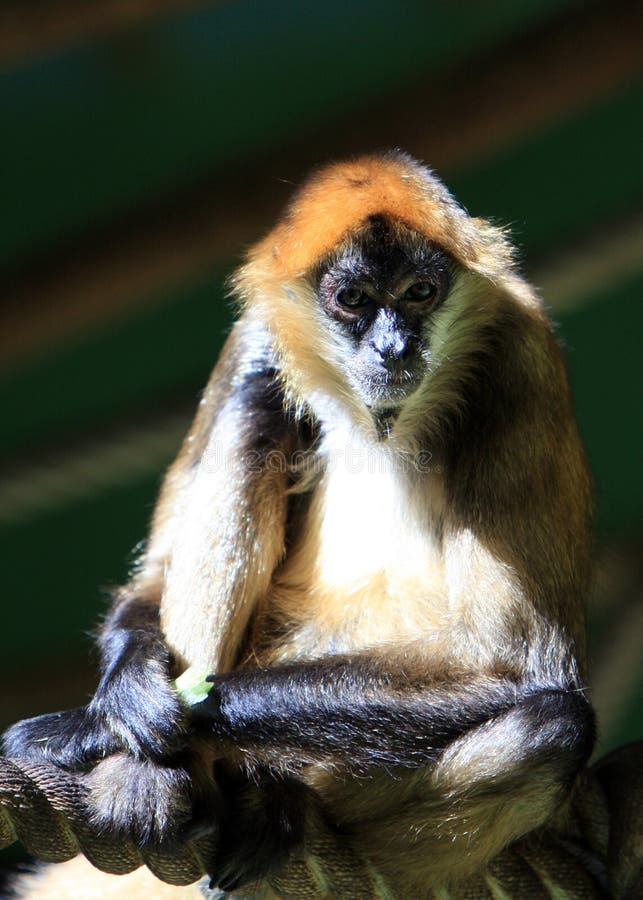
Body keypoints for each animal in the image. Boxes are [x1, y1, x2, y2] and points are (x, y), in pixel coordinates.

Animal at [4, 151, 595, 898]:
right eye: (353, 301)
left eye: (420, 293)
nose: (393, 347)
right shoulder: (258, 331)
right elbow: (155, 575)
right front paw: (126, 697)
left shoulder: (522, 349)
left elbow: (514, 661)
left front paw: (82, 727)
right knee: (254, 403)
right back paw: (154, 781)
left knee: (551, 731)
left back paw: (281, 803)